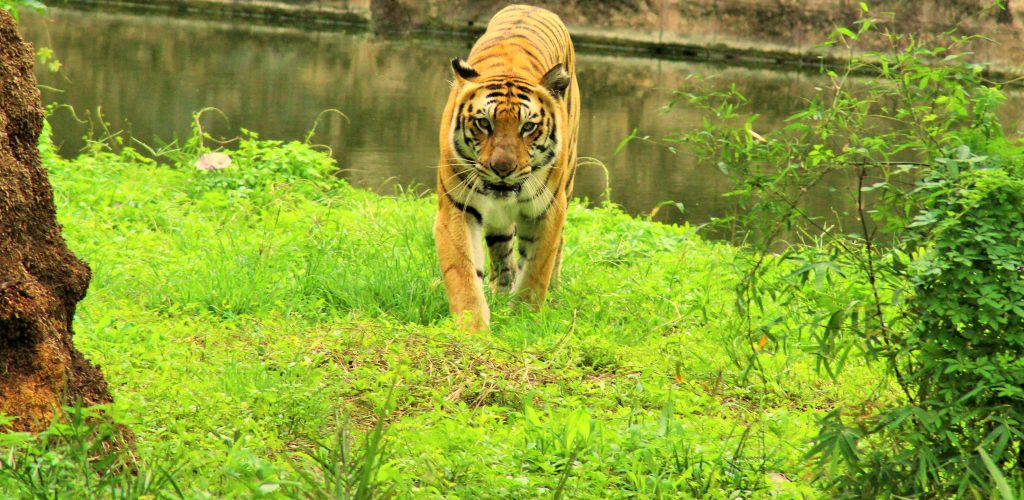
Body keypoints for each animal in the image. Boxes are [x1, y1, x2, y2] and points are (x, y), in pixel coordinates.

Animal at [434, 4, 580, 331]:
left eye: (528, 127)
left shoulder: (548, 210)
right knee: (502, 251)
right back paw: (500, 290)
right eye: (483, 123)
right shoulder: (457, 207)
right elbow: (463, 273)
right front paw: (473, 328)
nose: (502, 169)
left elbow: (536, 270)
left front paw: (524, 319)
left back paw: (553, 290)